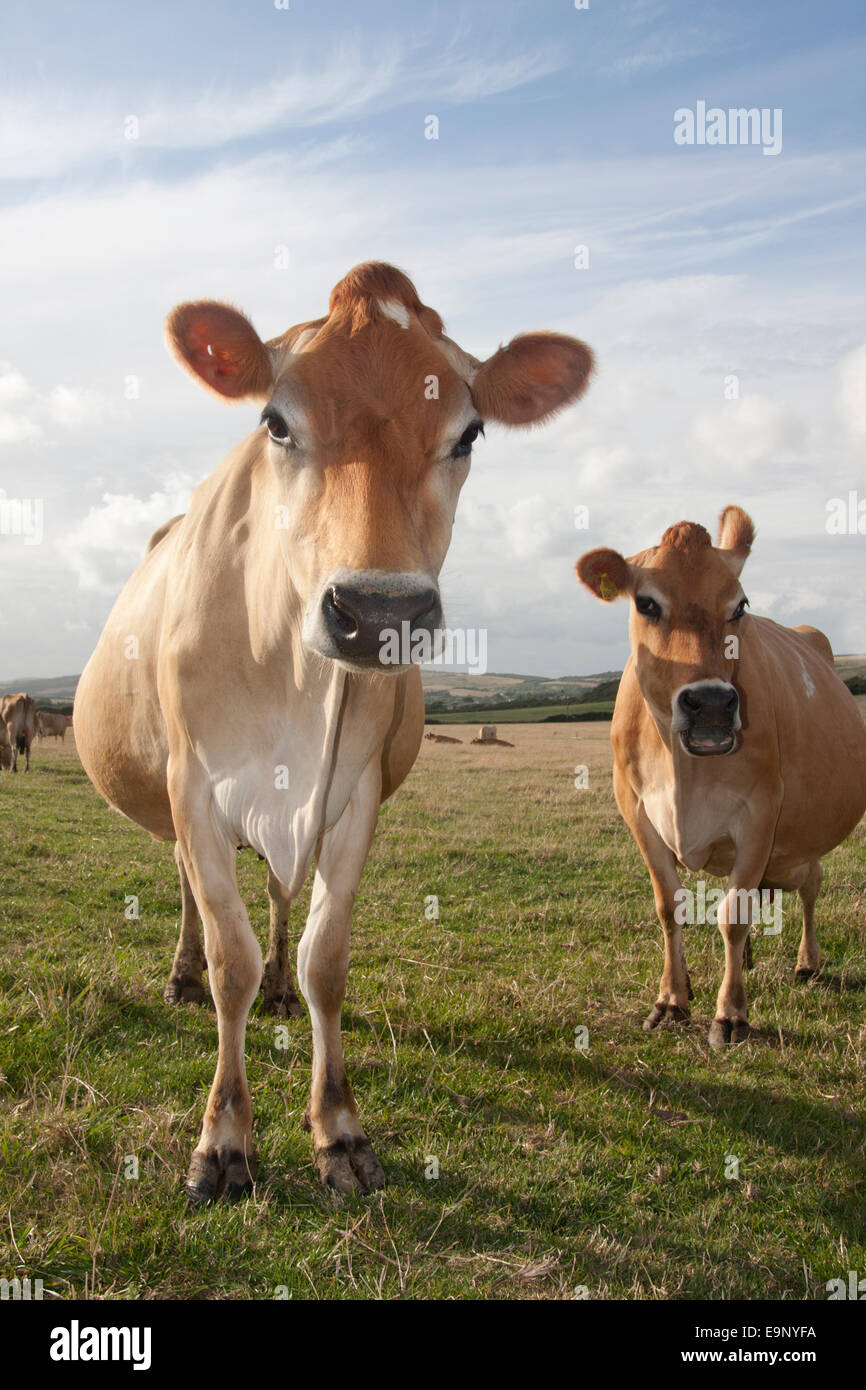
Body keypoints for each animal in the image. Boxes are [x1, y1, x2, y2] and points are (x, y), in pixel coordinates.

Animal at [74, 261, 594, 1202]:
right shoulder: (195, 790)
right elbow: (231, 960)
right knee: (188, 893)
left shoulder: (353, 798)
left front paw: (338, 1130)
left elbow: (326, 958)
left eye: (469, 433)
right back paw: (181, 973)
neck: (293, 671)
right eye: (276, 422)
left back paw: (277, 986)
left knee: (282, 899)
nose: (378, 613)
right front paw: (224, 1142)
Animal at [576, 506, 866, 1049]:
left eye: (740, 605)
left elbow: (732, 915)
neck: (684, 769)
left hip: (798, 847)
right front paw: (672, 999)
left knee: (810, 887)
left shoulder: (760, 814)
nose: (710, 702)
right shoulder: (637, 812)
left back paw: (808, 963)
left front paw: (730, 1013)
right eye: (646, 603)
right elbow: (669, 908)